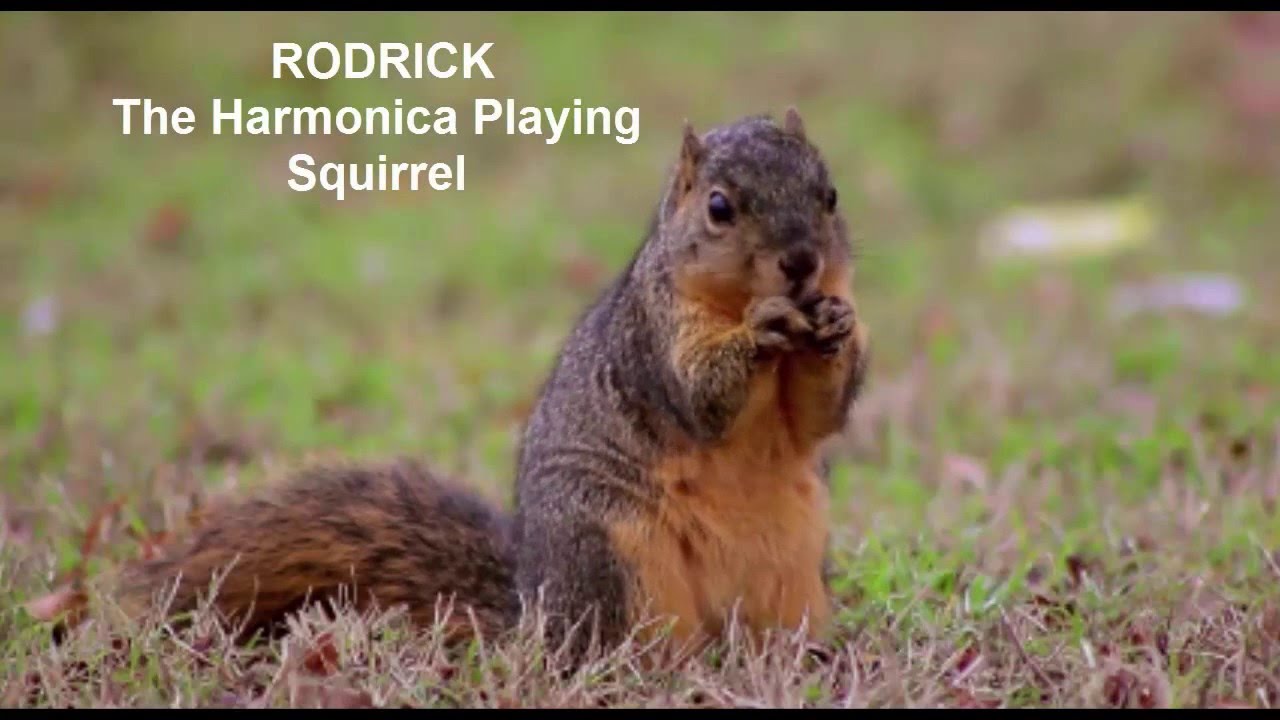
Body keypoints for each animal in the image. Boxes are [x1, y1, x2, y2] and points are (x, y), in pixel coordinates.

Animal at [116, 108, 870, 665]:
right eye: (719, 207)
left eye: (831, 195)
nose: (801, 263)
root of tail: (534, 612)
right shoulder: (651, 341)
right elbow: (703, 396)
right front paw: (765, 325)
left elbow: (818, 417)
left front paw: (840, 326)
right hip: (613, 554)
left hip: (793, 565)